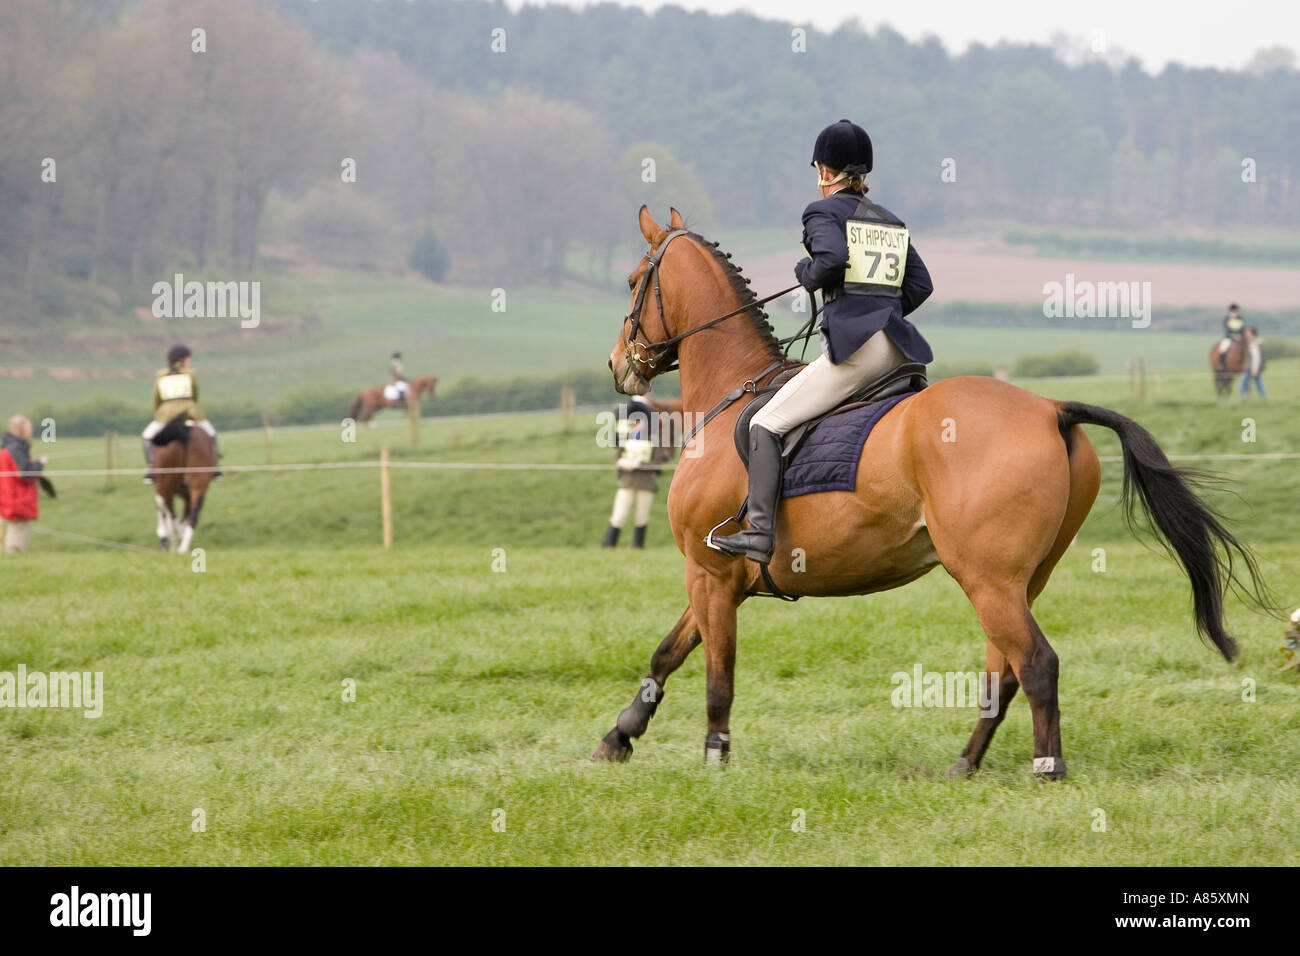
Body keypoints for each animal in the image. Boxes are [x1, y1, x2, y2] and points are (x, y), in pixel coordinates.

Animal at [151, 413, 217, 554]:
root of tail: (185, 430)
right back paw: (184, 546)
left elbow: (162, 510)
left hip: (166, 485)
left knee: (170, 512)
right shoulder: (187, 494)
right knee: (193, 514)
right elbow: (186, 514)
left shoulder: (160, 489)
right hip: (198, 486)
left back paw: (176, 543)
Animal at [593, 206, 1272, 779]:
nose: (618, 365)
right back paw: (965, 764)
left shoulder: (709, 573)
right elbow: (667, 653)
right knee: (1005, 667)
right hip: (1018, 579)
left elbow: (717, 671)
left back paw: (1047, 768)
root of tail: (1051, 407)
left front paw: (715, 756)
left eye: (632, 281)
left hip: (985, 576)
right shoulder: (717, 577)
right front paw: (618, 737)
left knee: (1036, 662)